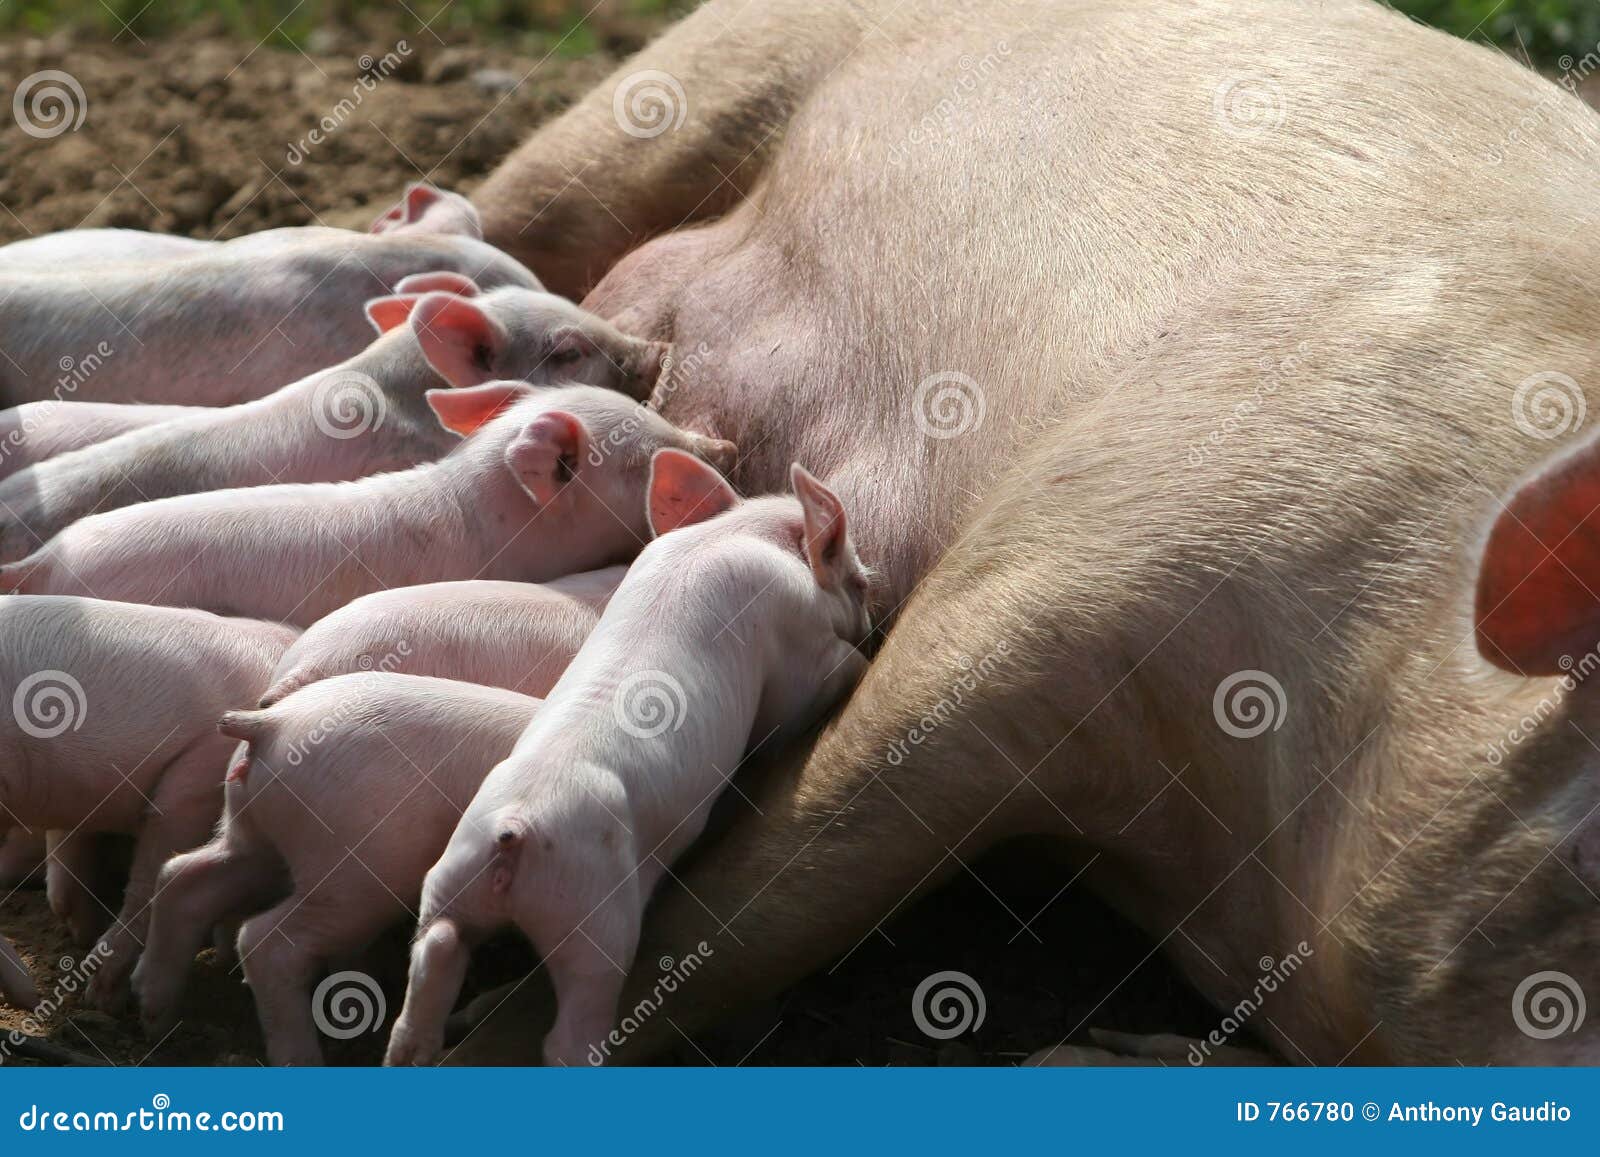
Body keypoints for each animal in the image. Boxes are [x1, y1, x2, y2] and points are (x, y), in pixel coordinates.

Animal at [0, 596, 295, 1009]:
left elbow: (66, 858)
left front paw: (82, 933)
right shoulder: (196, 776)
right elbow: (150, 874)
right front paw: (102, 999)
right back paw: (30, 994)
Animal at [132, 674, 544, 1064]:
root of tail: (270, 723)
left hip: (254, 837)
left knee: (183, 877)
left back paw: (152, 1015)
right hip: (361, 869)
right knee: (265, 941)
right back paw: (304, 1060)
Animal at [385, 451, 870, 1066]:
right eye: (859, 582)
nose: (872, 617)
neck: (730, 534)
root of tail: (514, 829)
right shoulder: (795, 647)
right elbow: (810, 691)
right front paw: (861, 661)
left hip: (450, 880)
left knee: (431, 968)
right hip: (595, 919)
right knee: (569, 1035)